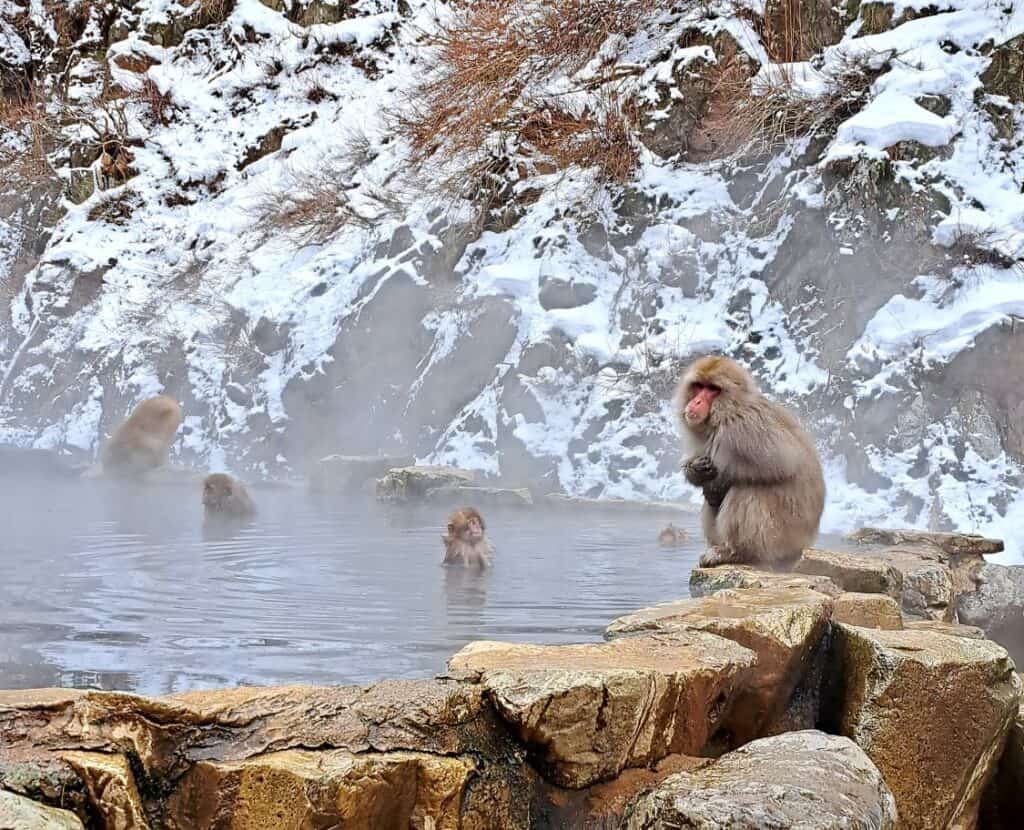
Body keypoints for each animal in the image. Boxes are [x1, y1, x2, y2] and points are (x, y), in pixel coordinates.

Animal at [675, 356, 827, 573]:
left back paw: (736, 553)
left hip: (783, 536)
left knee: (747, 489)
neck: (727, 409)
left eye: (712, 389)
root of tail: (806, 543)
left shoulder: (742, 427)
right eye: (698, 386)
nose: (696, 402)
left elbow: (784, 462)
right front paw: (696, 471)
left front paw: (720, 482)